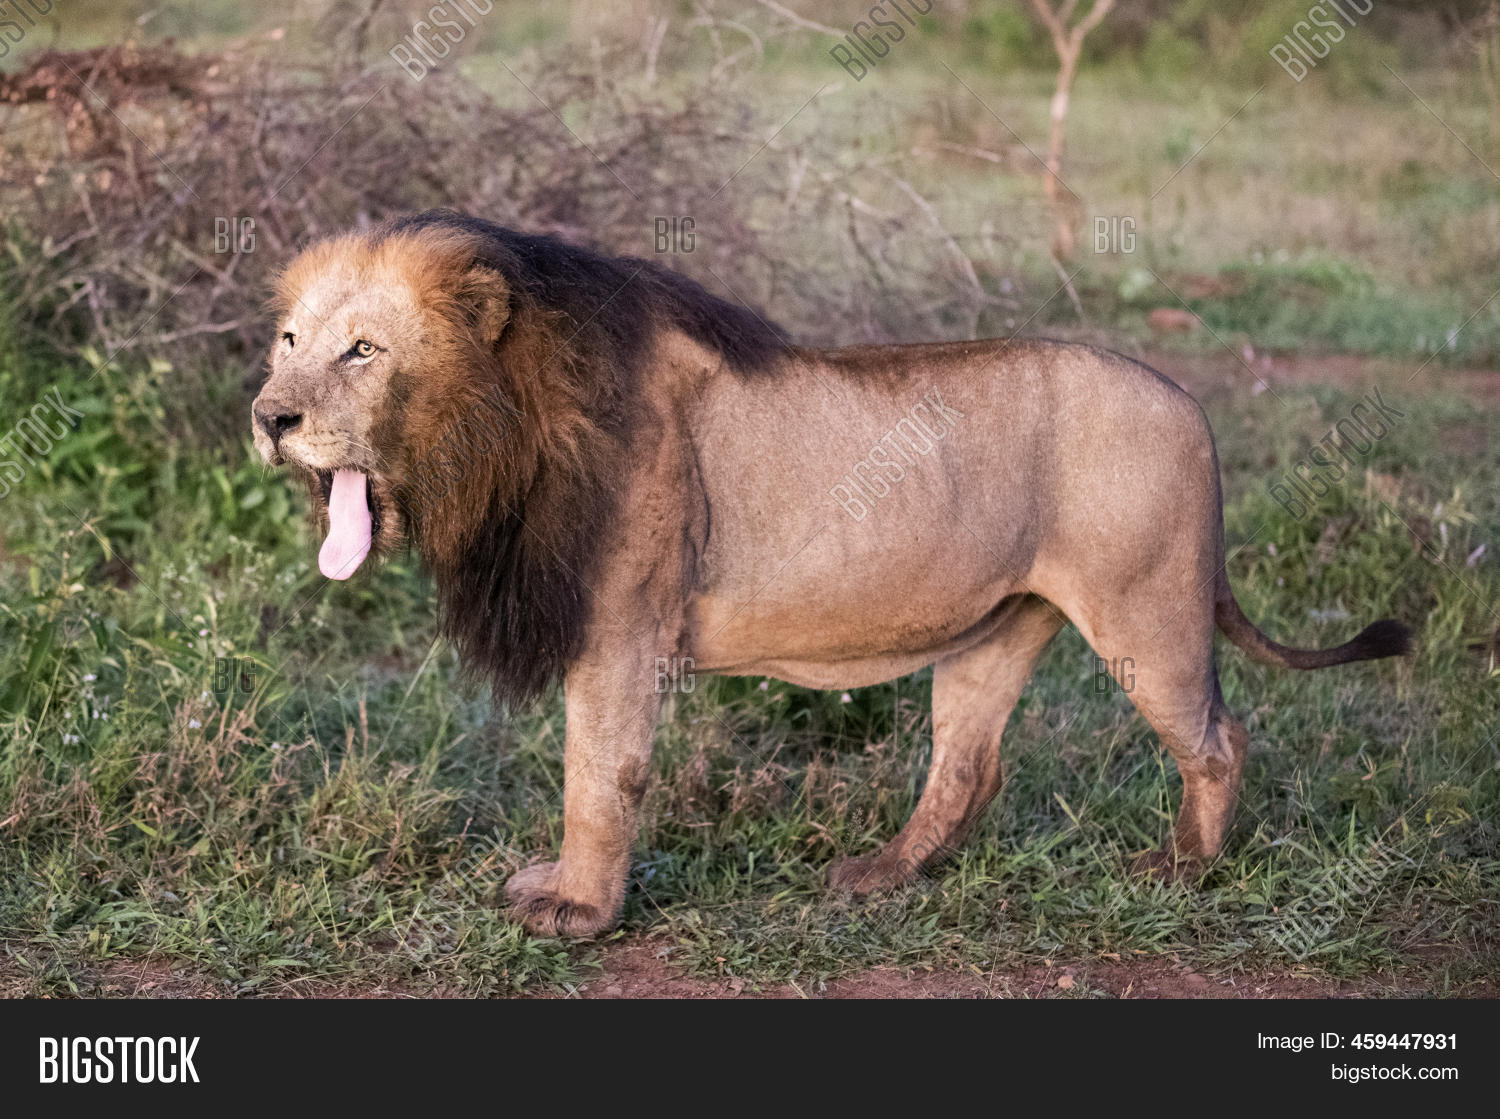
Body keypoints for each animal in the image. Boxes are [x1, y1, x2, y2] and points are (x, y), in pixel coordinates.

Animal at [252, 209, 1412, 937]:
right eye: (290, 340)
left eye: (363, 351)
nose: (269, 417)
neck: (500, 430)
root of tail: (1189, 400)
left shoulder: (622, 630)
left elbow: (599, 777)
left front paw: (579, 913)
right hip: (1000, 627)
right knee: (969, 768)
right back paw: (881, 876)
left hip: (1147, 613)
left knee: (1220, 737)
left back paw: (1183, 871)